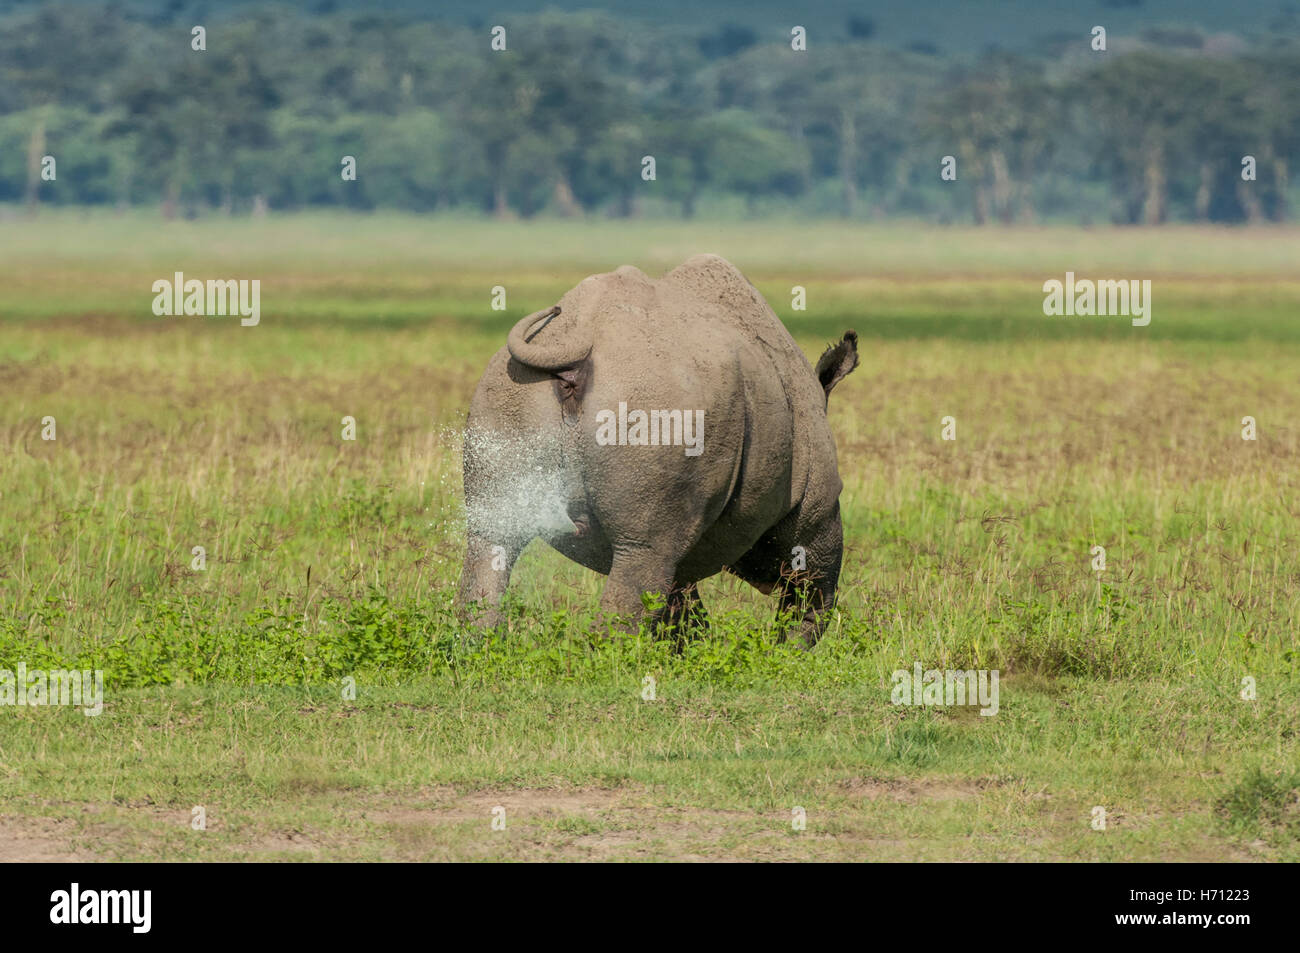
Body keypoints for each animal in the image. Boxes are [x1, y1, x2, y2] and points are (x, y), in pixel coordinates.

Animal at [455, 254, 858, 646]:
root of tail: (577, 338)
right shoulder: (817, 504)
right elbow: (813, 584)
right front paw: (787, 651)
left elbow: (679, 600)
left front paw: (690, 650)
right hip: (656, 405)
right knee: (644, 552)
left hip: (507, 388)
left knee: (492, 540)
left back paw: (478, 646)